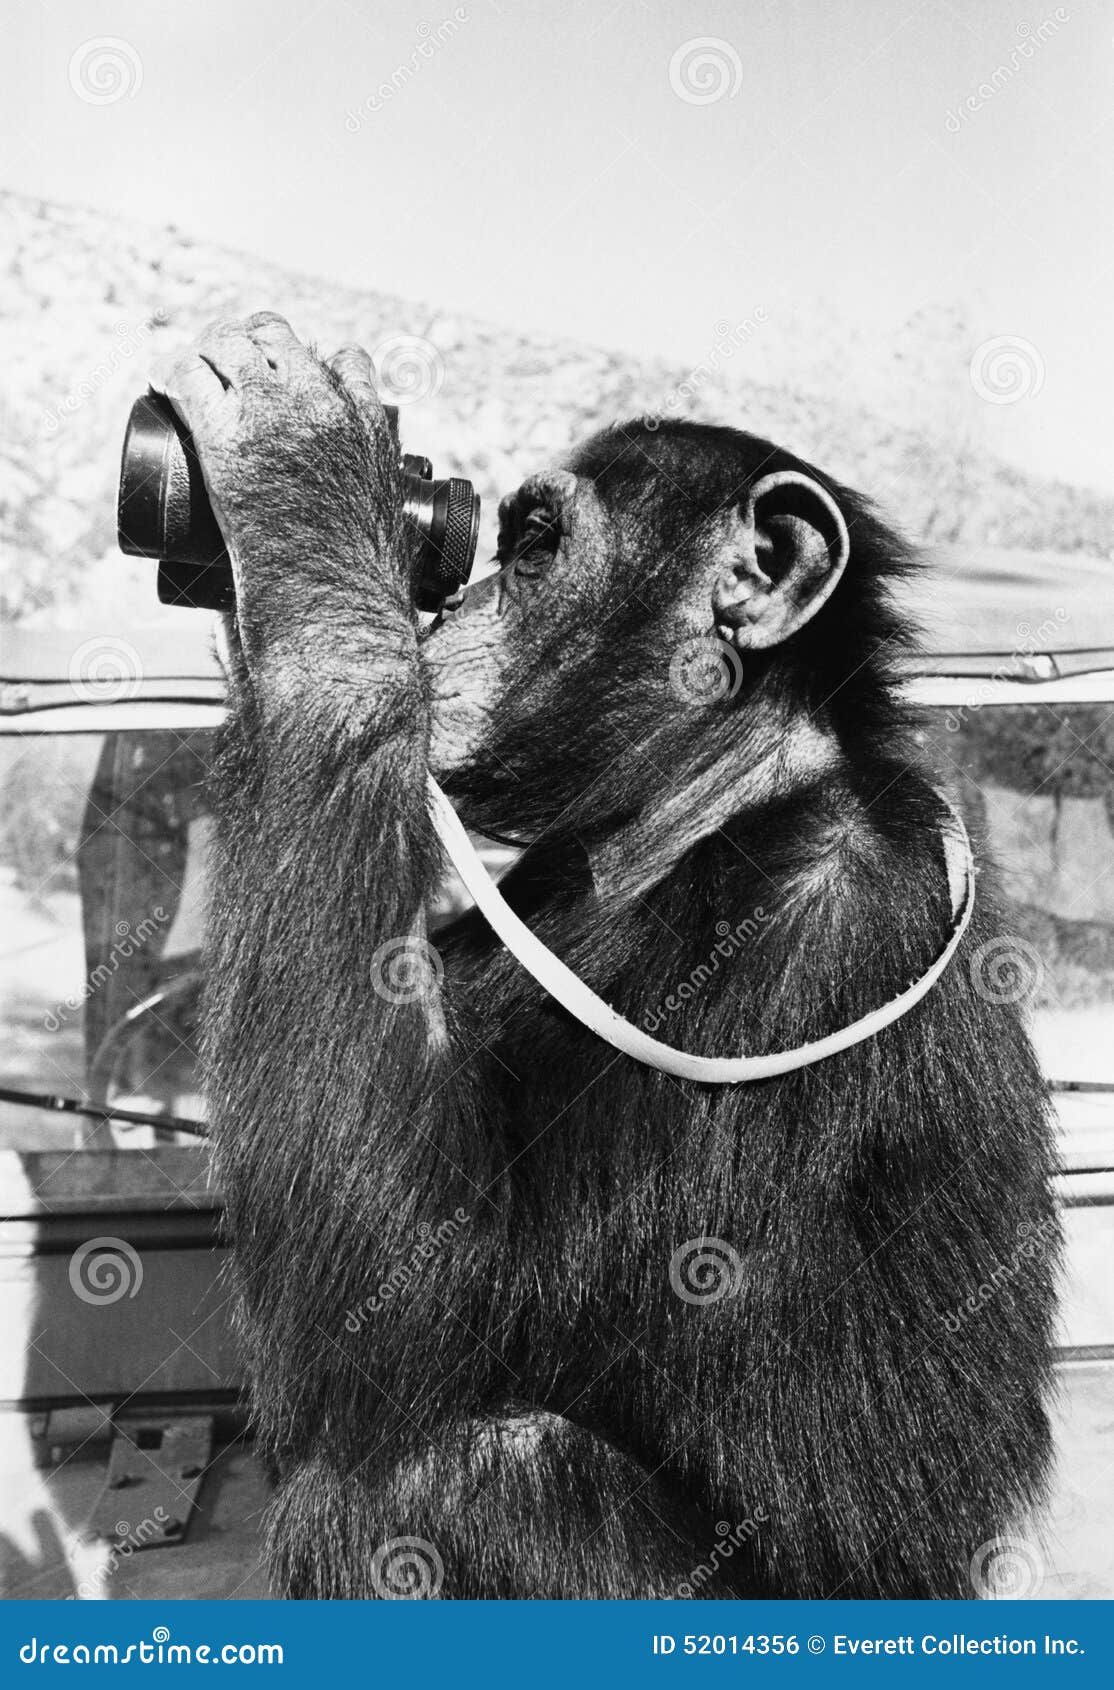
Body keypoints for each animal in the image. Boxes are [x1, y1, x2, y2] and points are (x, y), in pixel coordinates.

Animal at [151, 313, 1059, 1601]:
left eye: (535, 546)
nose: (457, 603)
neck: (697, 803)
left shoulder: (821, 926)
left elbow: (435, 1306)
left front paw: (299, 478)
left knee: (457, 1474)